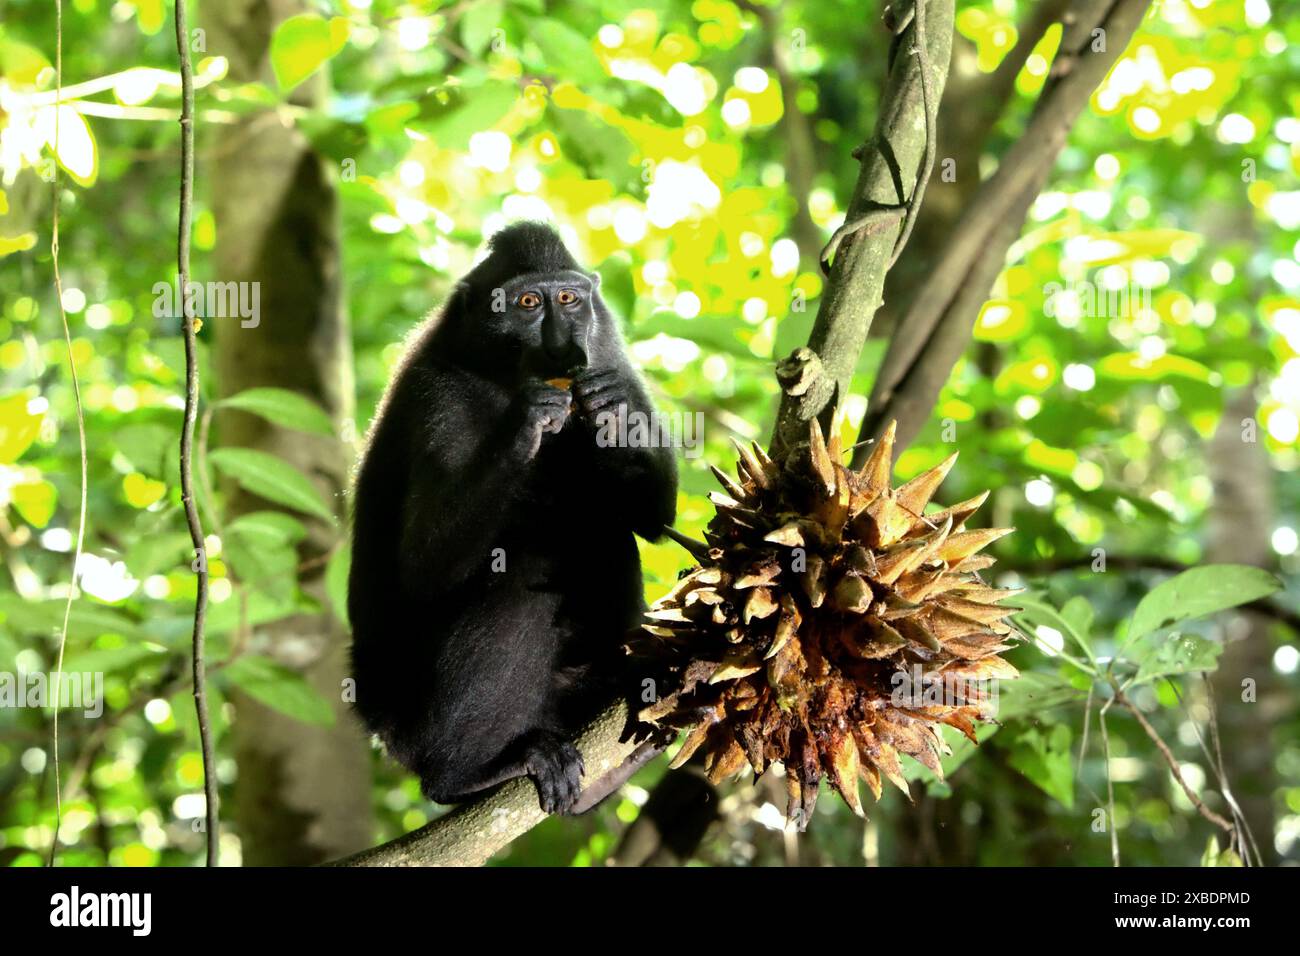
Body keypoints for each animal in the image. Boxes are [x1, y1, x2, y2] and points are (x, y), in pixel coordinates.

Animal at [348, 221, 678, 814]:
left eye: (568, 298)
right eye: (527, 303)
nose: (564, 346)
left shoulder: (612, 362)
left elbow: (654, 519)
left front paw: (613, 414)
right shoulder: (439, 400)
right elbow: (424, 568)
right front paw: (525, 422)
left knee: (602, 529)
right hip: (419, 727)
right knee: (527, 567)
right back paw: (468, 772)